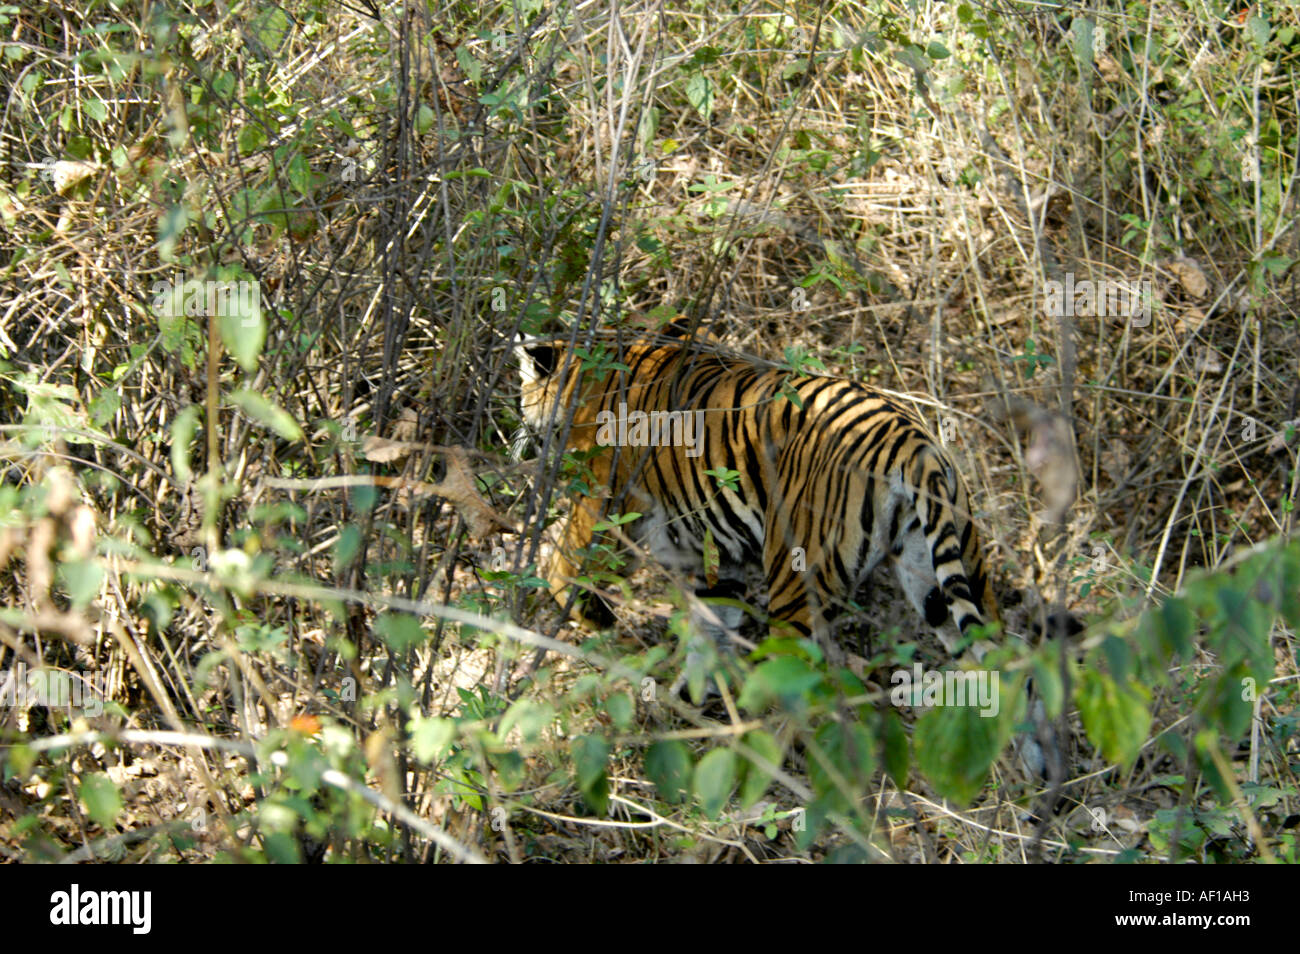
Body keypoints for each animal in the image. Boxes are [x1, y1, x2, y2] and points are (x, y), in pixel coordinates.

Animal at [517, 323, 1002, 662]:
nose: (519, 439)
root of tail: (910, 440)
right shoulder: (719, 549)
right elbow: (714, 624)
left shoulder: (605, 504)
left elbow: (564, 559)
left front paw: (583, 614)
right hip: (951, 569)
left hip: (797, 574)